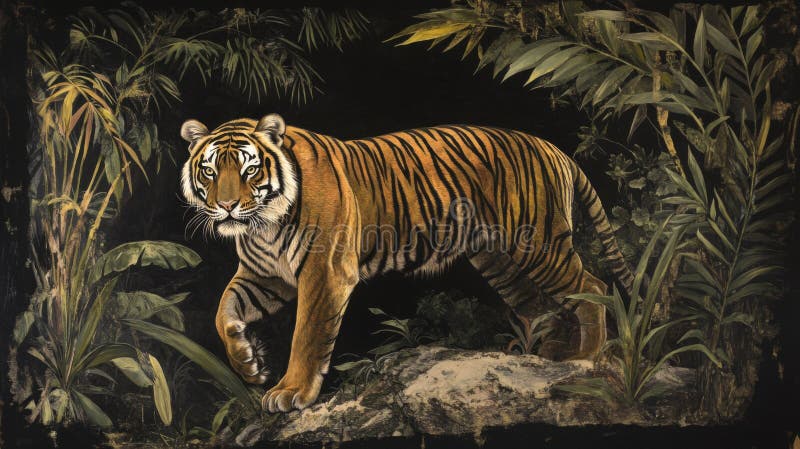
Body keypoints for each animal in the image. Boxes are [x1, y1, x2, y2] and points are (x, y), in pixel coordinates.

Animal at [179, 114, 634, 413]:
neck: (262, 224)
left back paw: (585, 356)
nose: (226, 206)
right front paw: (248, 363)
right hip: (498, 258)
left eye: (249, 170)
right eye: (209, 170)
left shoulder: (323, 272)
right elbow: (223, 313)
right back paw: (546, 359)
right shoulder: (265, 276)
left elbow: (307, 335)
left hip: (539, 243)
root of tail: (552, 147)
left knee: (592, 286)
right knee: (537, 306)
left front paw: (291, 392)